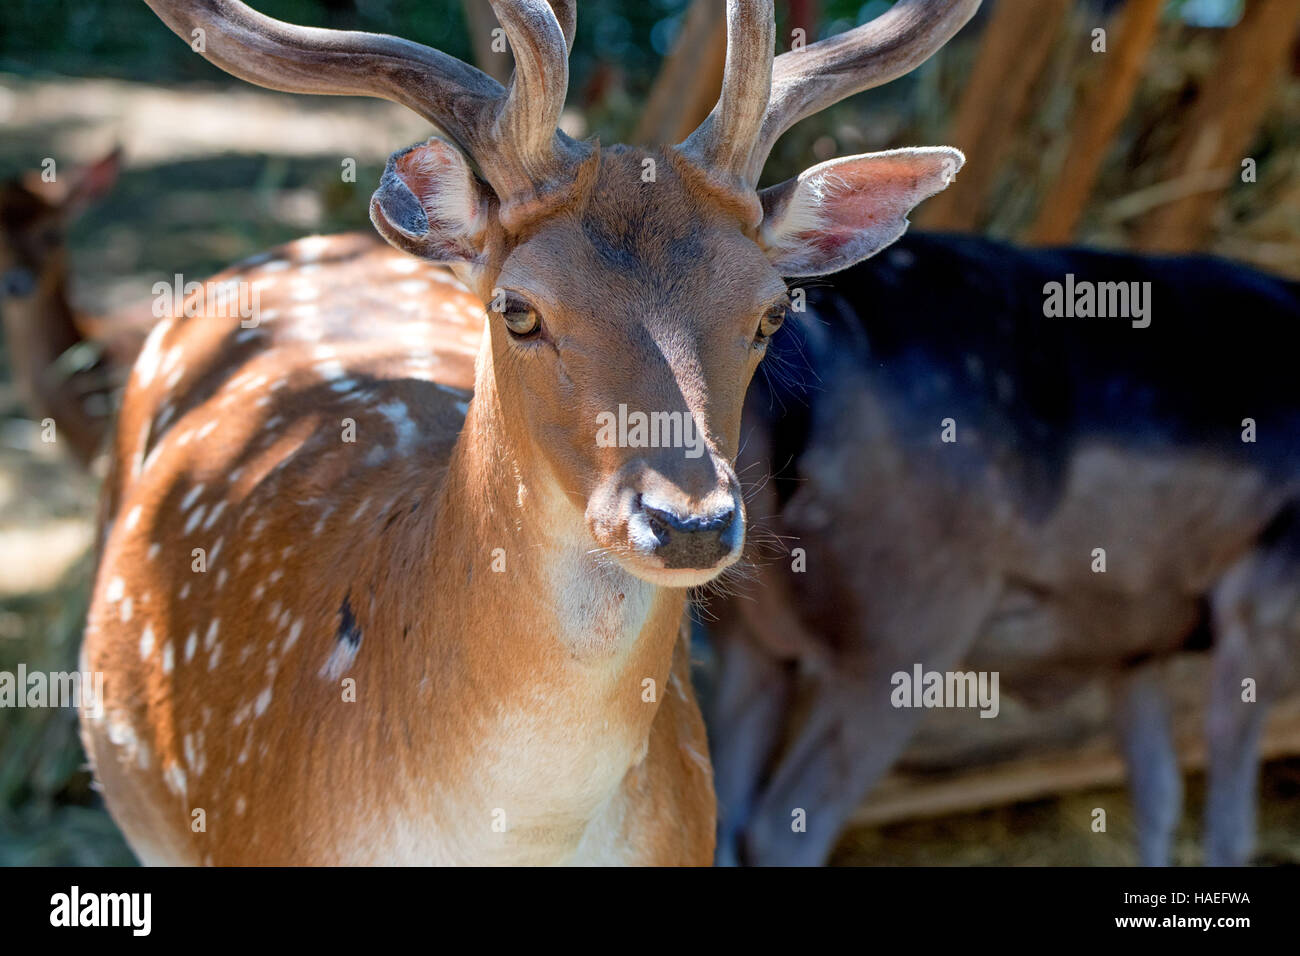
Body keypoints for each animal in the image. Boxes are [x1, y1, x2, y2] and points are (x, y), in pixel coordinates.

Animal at [709, 230, 1300, 866]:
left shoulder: (1132, 638)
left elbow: (1158, 789)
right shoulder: (1260, 609)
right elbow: (1229, 820)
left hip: (750, 630)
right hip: (905, 629)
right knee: (784, 827)